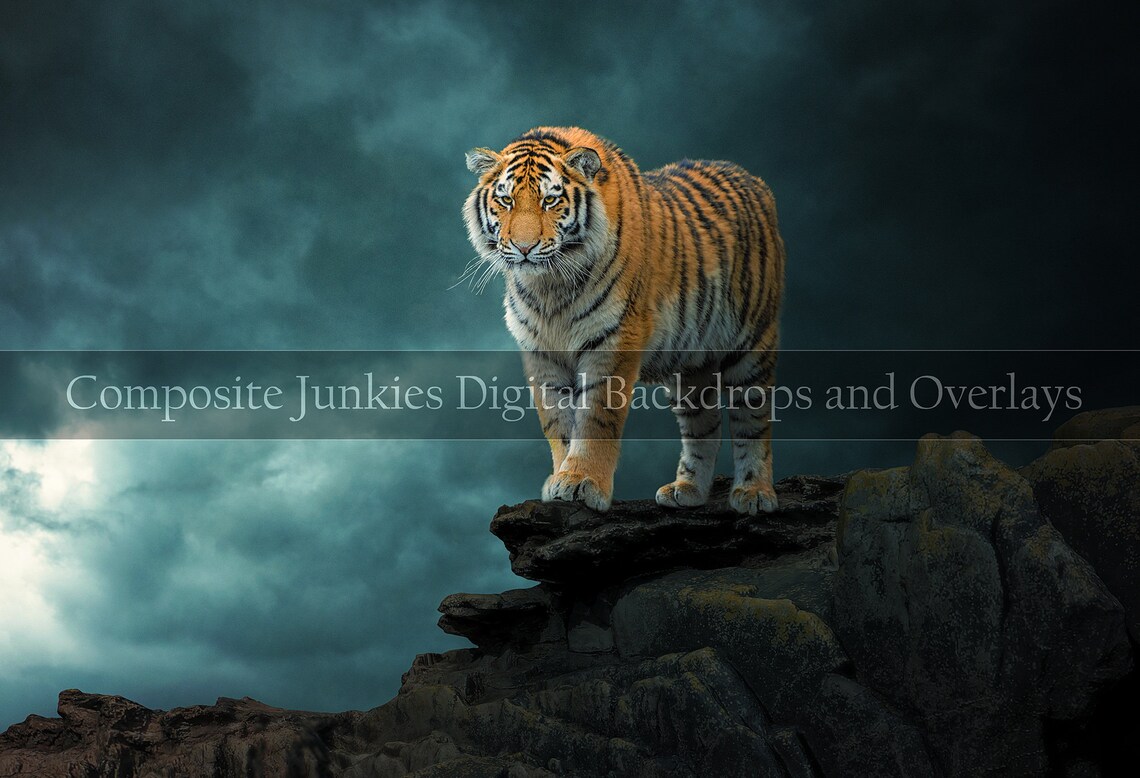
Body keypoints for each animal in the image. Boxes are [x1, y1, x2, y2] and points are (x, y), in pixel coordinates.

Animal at [462, 126, 785, 515]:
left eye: (551, 201)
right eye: (506, 200)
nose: (524, 248)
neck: (550, 287)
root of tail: (753, 179)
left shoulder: (613, 339)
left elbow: (596, 417)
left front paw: (582, 482)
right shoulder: (540, 353)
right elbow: (558, 422)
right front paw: (561, 478)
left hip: (752, 345)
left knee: (753, 421)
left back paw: (754, 493)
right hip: (690, 365)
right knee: (704, 426)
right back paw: (687, 490)